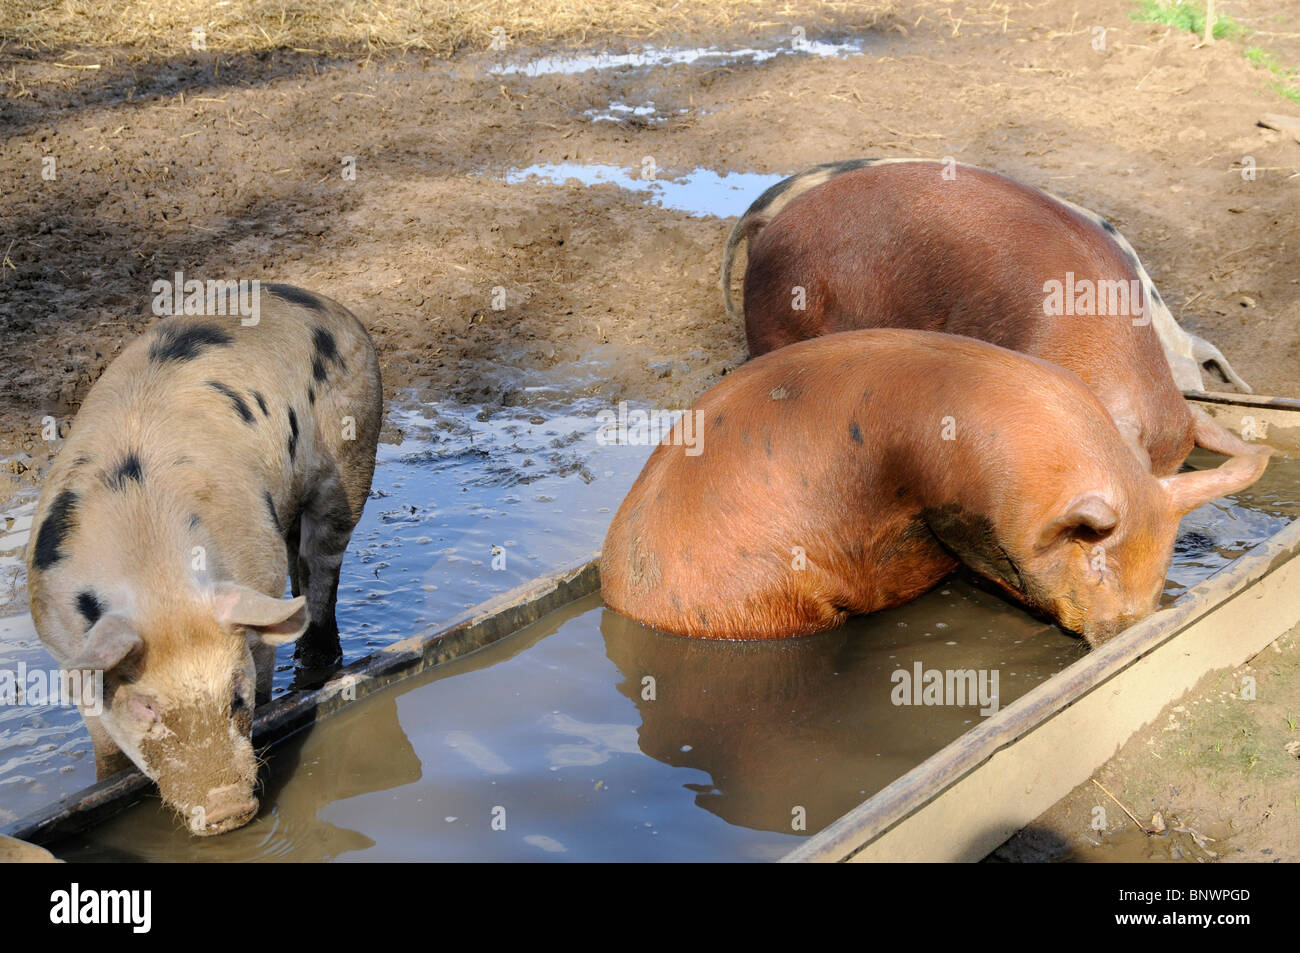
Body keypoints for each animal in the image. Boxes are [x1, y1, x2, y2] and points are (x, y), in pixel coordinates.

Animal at [26, 283, 382, 835]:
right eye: (146, 706)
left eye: (235, 697)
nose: (227, 809)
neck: (156, 579)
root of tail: (326, 302)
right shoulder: (68, 644)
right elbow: (105, 749)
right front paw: (106, 781)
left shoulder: (255, 586)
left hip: (352, 454)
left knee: (322, 571)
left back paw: (316, 662)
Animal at [600, 329, 1271, 645]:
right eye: (1096, 562)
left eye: (1162, 566)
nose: (1127, 634)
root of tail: (625, 597)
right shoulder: (955, 514)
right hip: (774, 602)